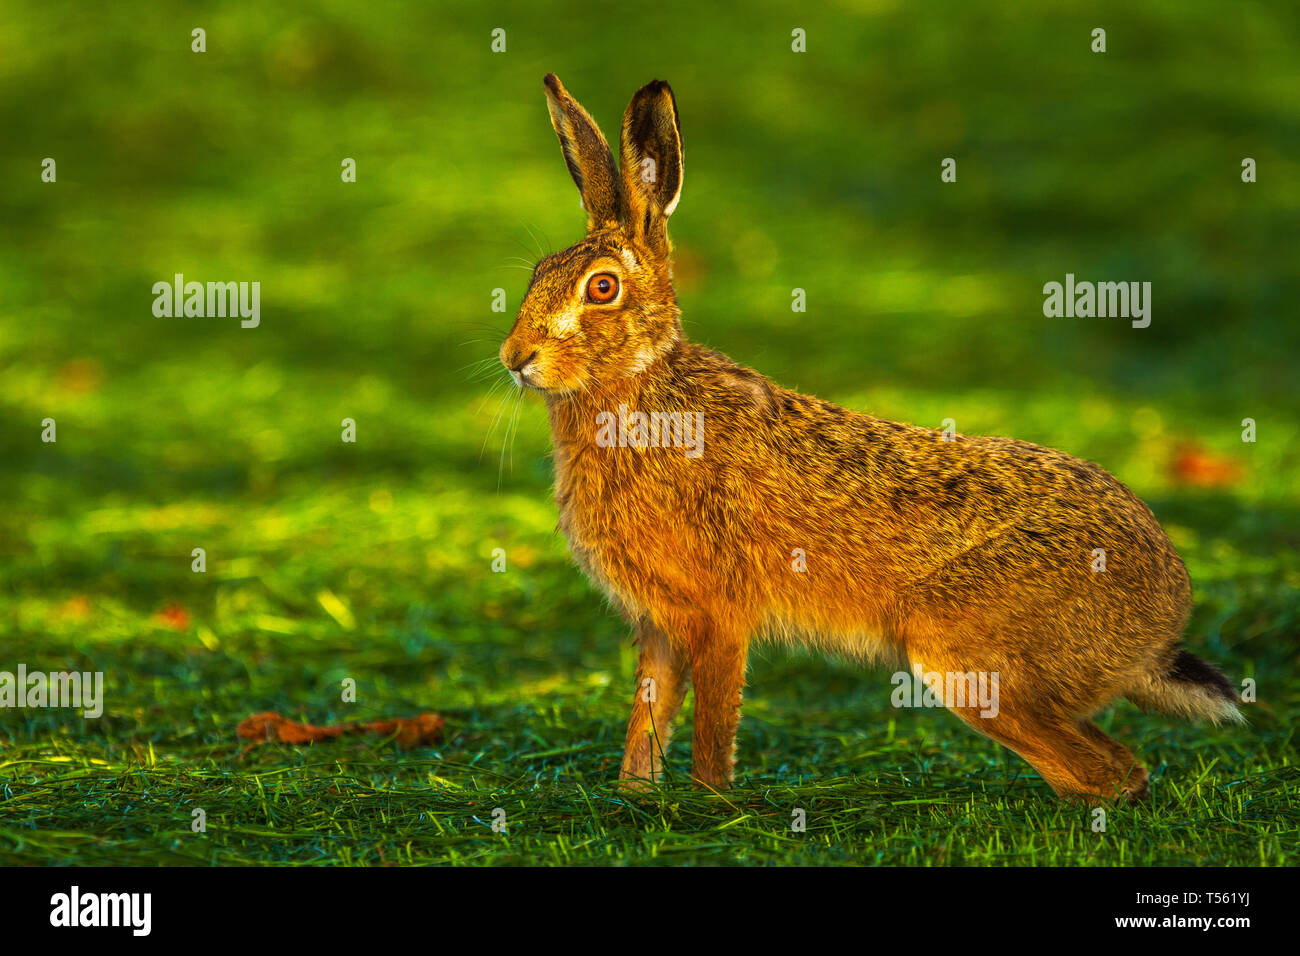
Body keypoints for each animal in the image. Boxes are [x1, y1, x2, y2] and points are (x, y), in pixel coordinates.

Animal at [499, 74, 1244, 804]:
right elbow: (648, 717)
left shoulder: (718, 615)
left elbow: (712, 724)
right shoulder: (658, 624)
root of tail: (1161, 618)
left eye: (602, 289)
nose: (515, 357)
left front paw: (713, 802)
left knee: (1111, 772)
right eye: (536, 275)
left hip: (964, 659)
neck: (638, 389)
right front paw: (634, 794)